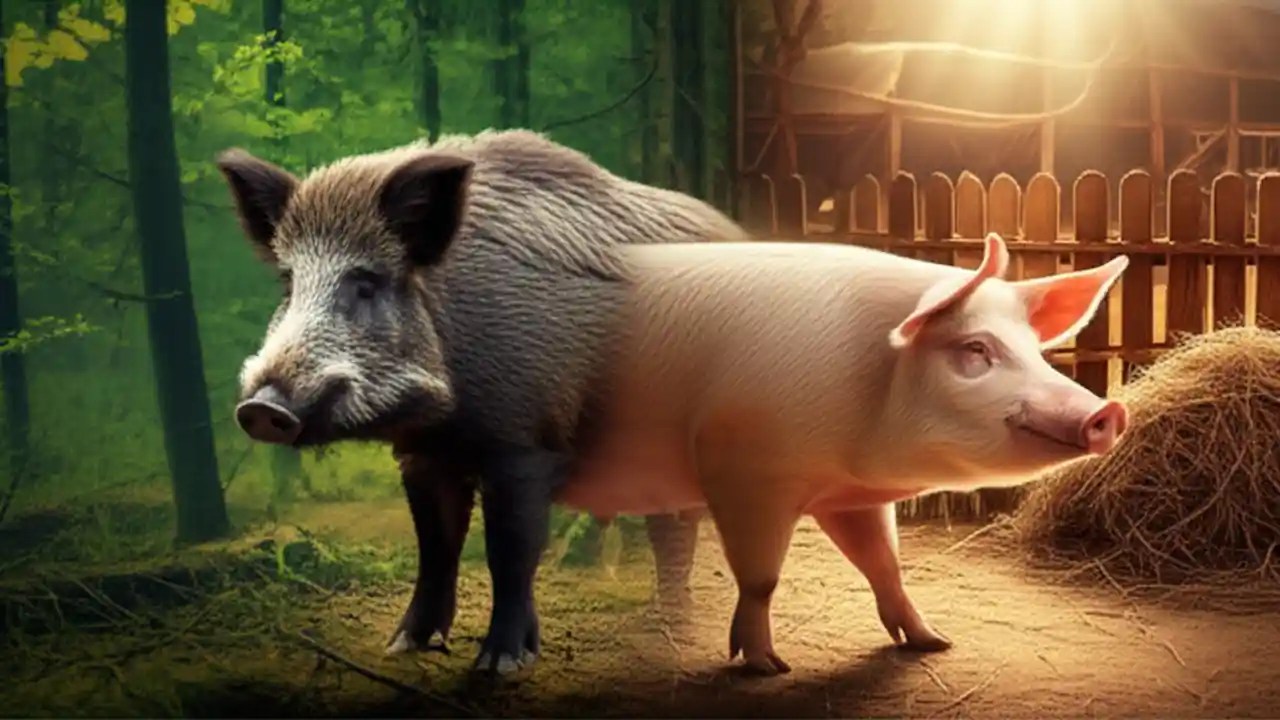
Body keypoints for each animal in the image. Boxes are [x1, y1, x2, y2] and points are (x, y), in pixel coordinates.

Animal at [216, 129, 731, 675]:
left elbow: (510, 551)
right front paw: (404, 645)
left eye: (366, 284)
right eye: (289, 284)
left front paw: (499, 664)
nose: (262, 409)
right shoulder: (422, 456)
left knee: (678, 530)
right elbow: (435, 546)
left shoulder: (525, 445)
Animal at [557, 231, 1130, 674]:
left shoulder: (849, 495)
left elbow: (885, 566)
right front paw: (769, 667)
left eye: (1036, 351)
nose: (1108, 411)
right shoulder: (742, 469)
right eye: (975, 349)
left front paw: (935, 642)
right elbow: (761, 579)